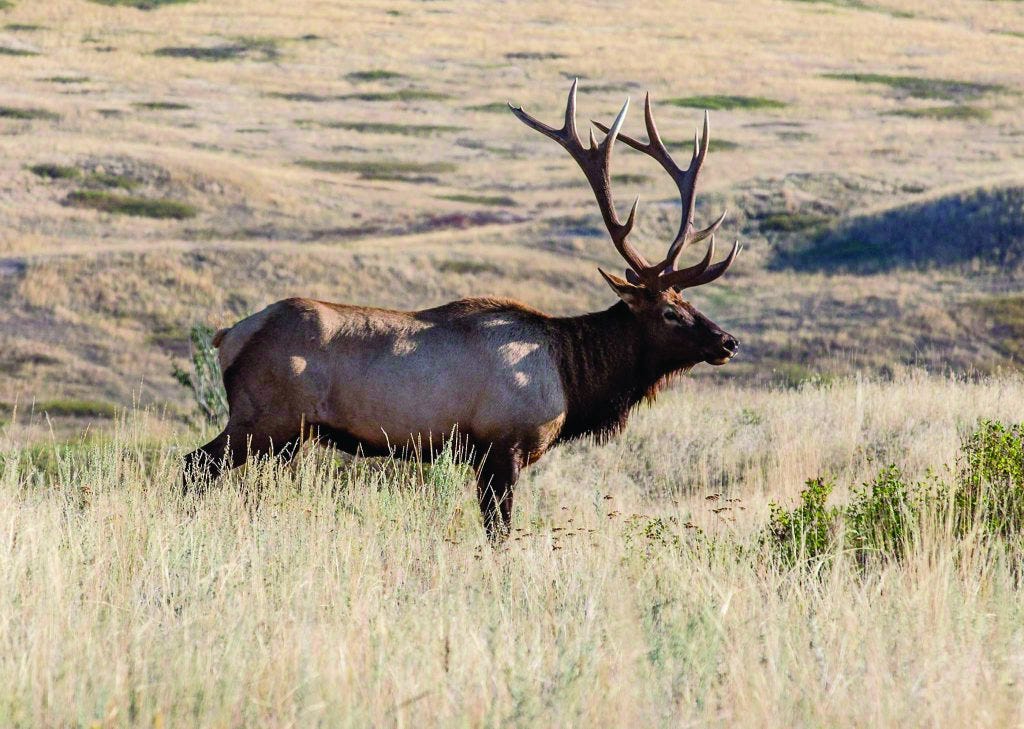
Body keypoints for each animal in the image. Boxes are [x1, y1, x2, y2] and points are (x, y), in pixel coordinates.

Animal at [182, 81, 741, 539]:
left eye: (688, 301)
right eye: (669, 311)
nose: (728, 341)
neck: (571, 376)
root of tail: (228, 336)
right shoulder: (502, 446)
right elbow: (500, 532)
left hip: (285, 436)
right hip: (263, 418)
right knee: (191, 466)